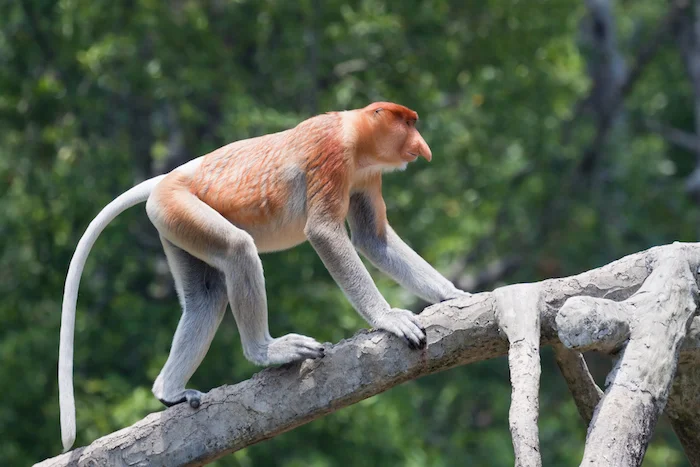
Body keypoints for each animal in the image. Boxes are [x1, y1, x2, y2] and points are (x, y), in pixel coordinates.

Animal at [58, 102, 467, 451]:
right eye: (408, 123)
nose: (424, 148)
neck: (353, 132)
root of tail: (171, 176)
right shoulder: (330, 154)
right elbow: (325, 233)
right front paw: (390, 319)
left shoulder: (367, 175)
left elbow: (373, 239)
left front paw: (455, 295)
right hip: (178, 207)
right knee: (238, 250)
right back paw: (267, 350)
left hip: (171, 225)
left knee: (206, 297)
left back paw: (170, 391)